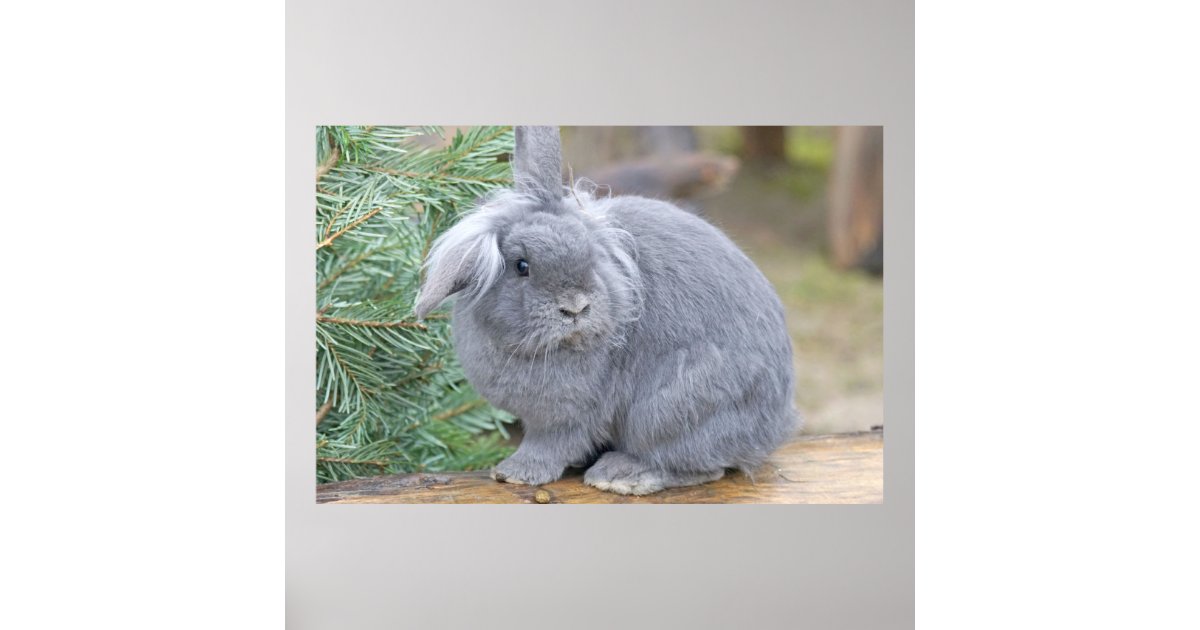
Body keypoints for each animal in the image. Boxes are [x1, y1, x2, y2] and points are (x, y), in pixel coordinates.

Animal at [414, 126, 798, 495]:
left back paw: (623, 475)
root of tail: (775, 425)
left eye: (591, 256)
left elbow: (550, 445)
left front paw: (515, 473)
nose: (575, 308)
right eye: (522, 266)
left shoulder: (567, 416)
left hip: (671, 410)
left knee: (700, 466)